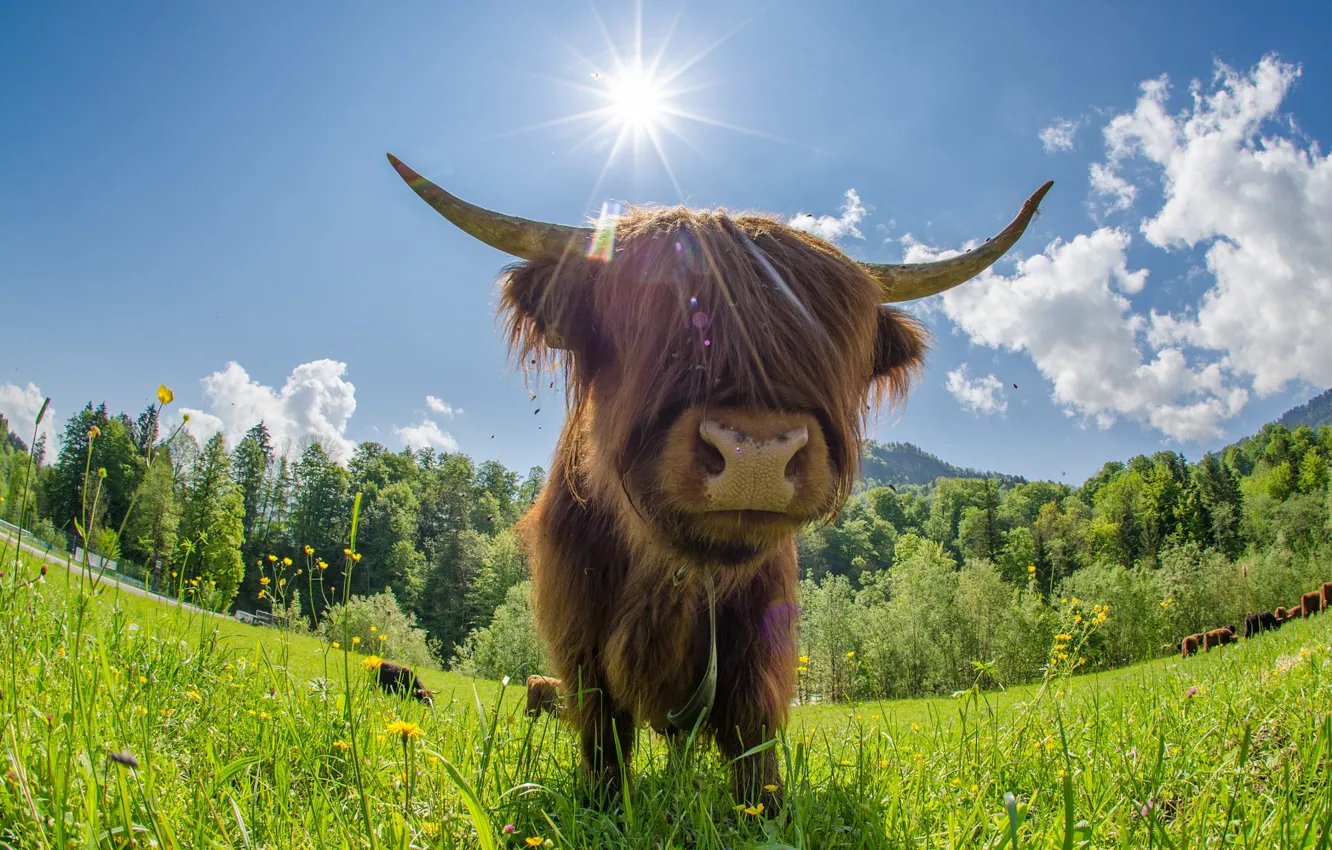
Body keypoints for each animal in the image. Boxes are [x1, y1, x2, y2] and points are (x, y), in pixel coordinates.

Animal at [387, 152, 1051, 811]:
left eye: (825, 344)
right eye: (652, 324)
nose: (756, 453)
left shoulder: (758, 633)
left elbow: (751, 728)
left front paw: (765, 813)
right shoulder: (578, 631)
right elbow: (604, 729)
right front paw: (606, 807)